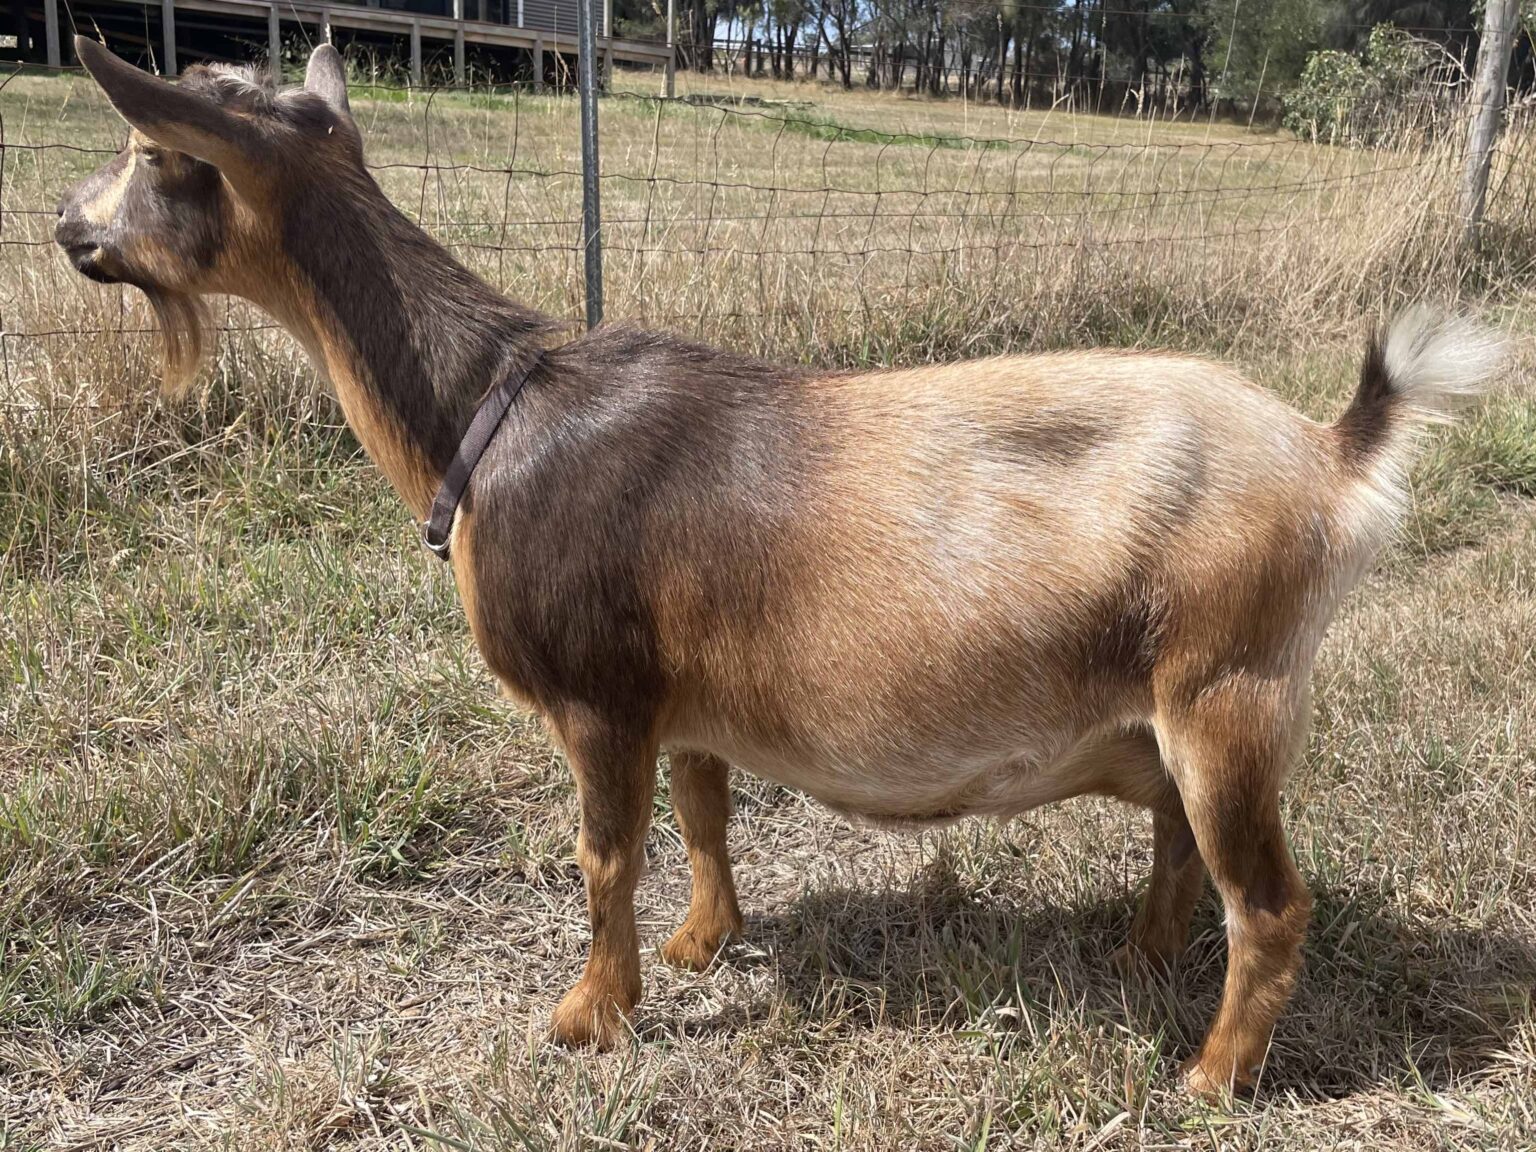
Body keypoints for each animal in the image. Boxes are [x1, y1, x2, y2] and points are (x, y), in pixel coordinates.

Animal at [56, 38, 1501, 1097]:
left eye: (151, 151)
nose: (70, 226)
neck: (495, 415)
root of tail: (1328, 454)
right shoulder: (682, 697)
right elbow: (703, 815)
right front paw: (704, 946)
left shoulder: (597, 696)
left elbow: (604, 857)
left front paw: (589, 1016)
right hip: (1172, 705)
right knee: (1178, 842)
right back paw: (1141, 956)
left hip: (1226, 687)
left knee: (1271, 903)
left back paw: (1207, 1077)